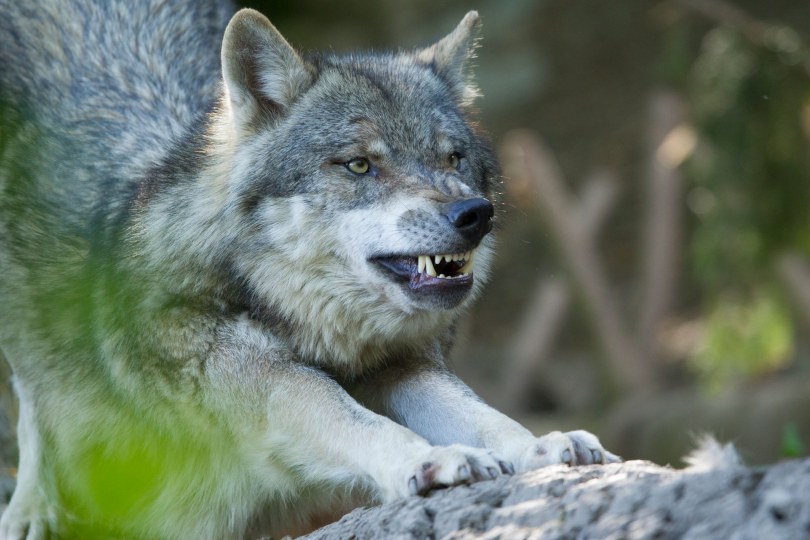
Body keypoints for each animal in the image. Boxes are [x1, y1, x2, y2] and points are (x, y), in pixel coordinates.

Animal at [0, 1, 618, 538]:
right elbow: (352, 420)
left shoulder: (402, 366)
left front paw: (541, 444)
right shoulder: (266, 378)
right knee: (32, 400)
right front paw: (433, 459)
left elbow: (479, 413)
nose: (475, 215)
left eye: (453, 158)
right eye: (360, 165)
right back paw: (30, 509)